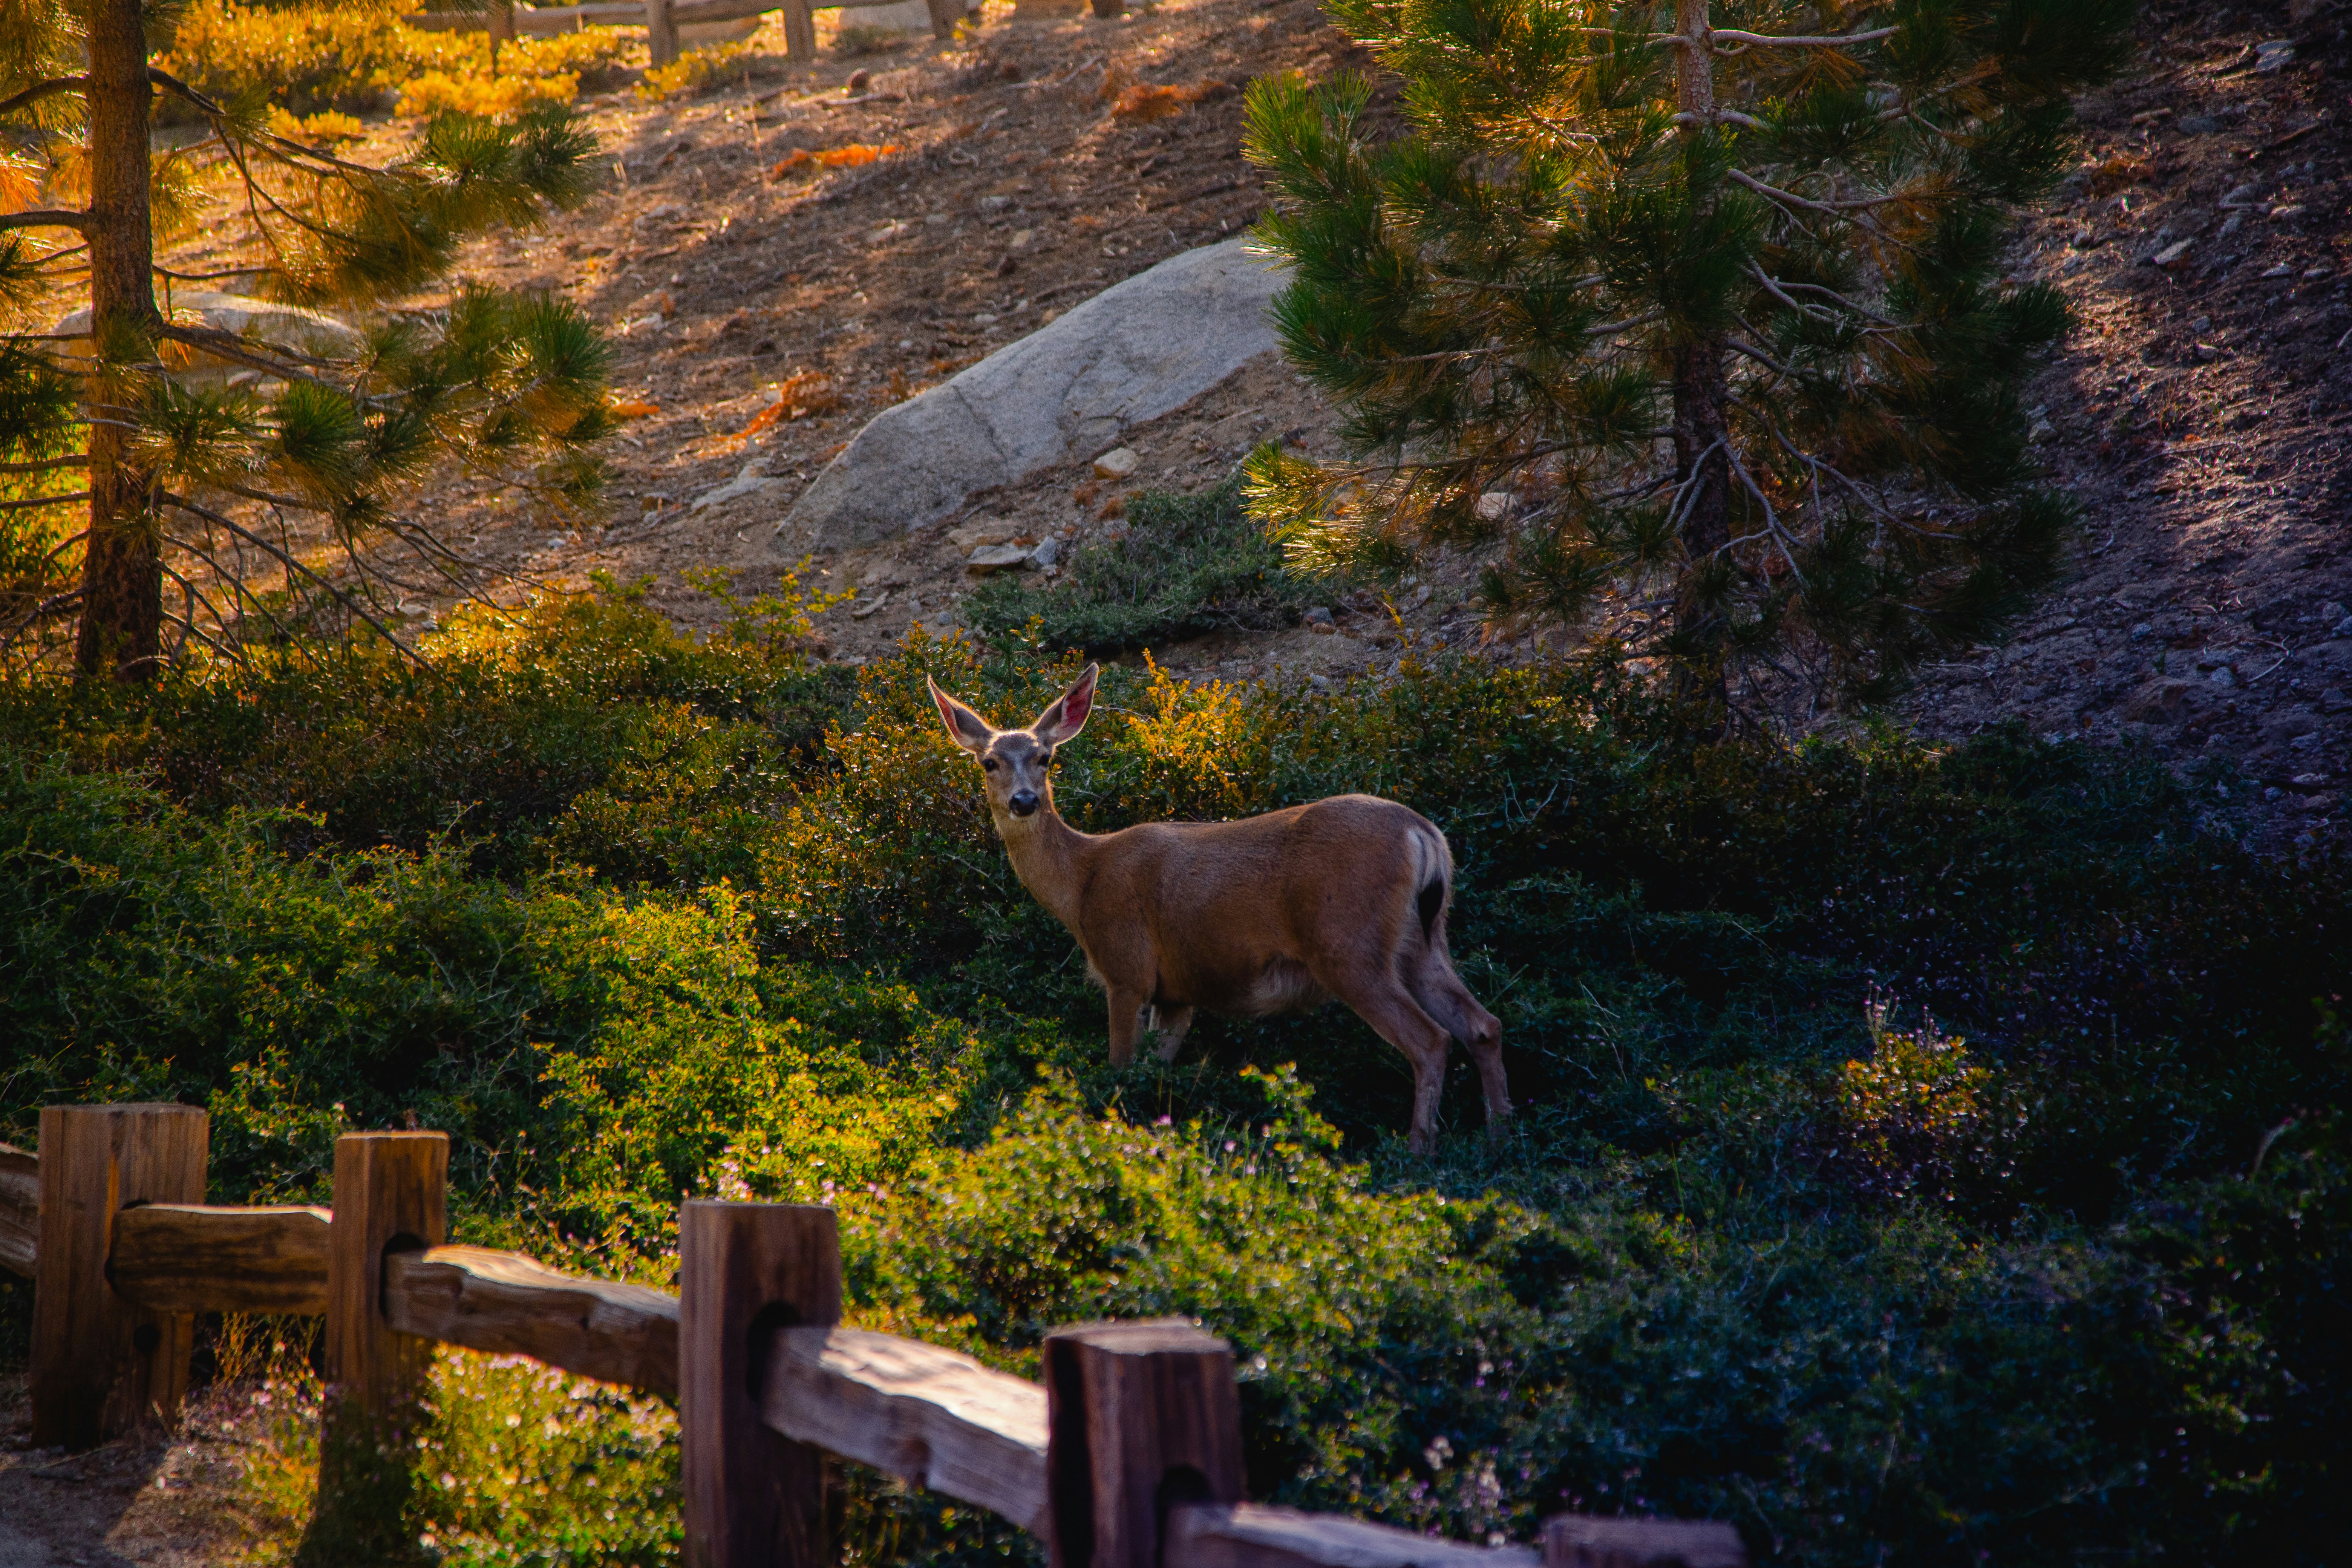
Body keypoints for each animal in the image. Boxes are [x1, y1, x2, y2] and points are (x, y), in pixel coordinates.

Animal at [926, 662, 1510, 1153]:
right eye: (990, 762)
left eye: (1045, 758)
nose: (1024, 801)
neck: (1083, 882)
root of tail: (1424, 836)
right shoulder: (1178, 992)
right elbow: (1156, 1071)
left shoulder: (1127, 967)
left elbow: (1120, 1069)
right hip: (1424, 938)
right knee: (1483, 1024)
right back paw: (1501, 1135)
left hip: (1348, 942)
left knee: (1430, 1039)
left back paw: (1418, 1152)